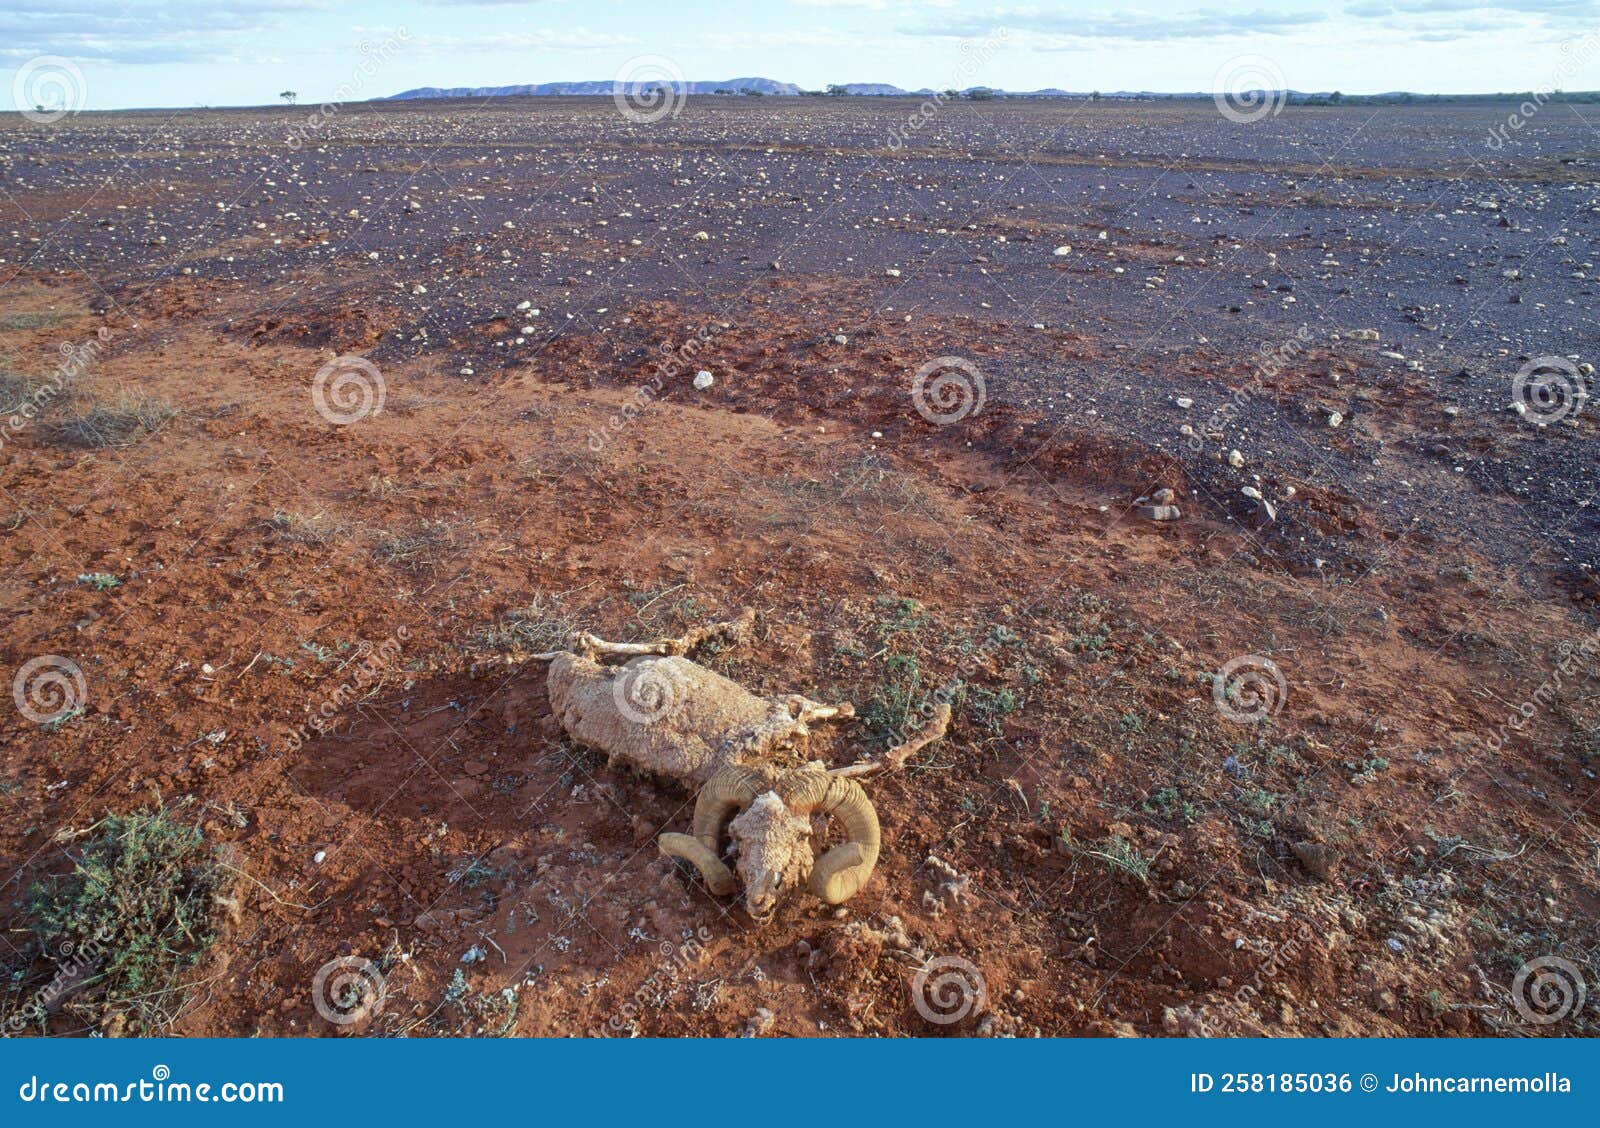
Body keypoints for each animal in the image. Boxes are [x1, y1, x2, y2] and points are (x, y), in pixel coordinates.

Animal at [531, 609, 948, 920]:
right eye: (738, 838)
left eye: (801, 836)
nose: (760, 899)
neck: (768, 759)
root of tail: (574, 674)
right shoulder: (785, 729)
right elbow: (868, 760)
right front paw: (935, 720)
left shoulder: (780, 721)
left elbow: (813, 719)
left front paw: (933, 716)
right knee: (599, 646)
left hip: (642, 662)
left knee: (631, 643)